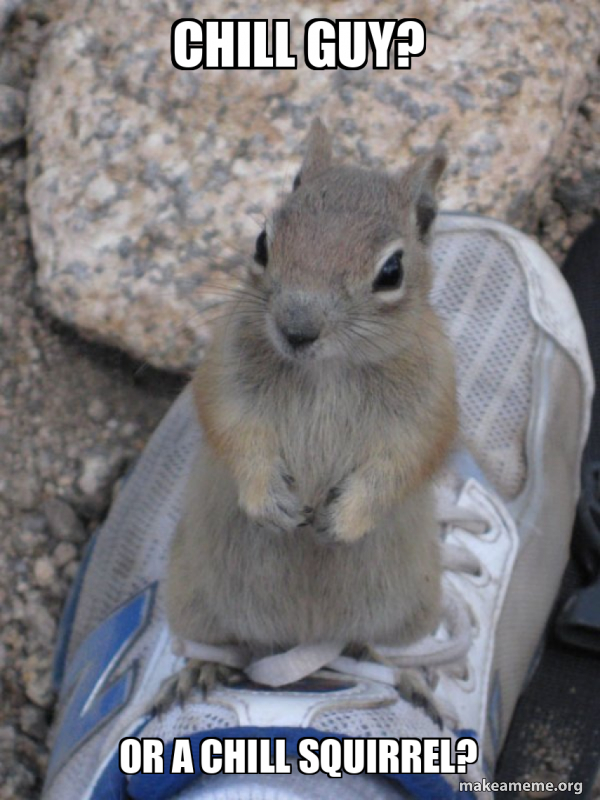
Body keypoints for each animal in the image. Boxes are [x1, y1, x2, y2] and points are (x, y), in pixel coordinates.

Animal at [162, 118, 457, 705]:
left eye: (392, 271)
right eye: (262, 241)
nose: (296, 329)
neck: (327, 369)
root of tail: (306, 633)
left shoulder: (428, 406)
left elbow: (401, 464)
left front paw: (345, 519)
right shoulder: (227, 377)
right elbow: (236, 434)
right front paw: (268, 500)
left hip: (412, 610)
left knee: (366, 645)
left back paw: (405, 677)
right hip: (190, 597)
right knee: (228, 646)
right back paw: (200, 671)